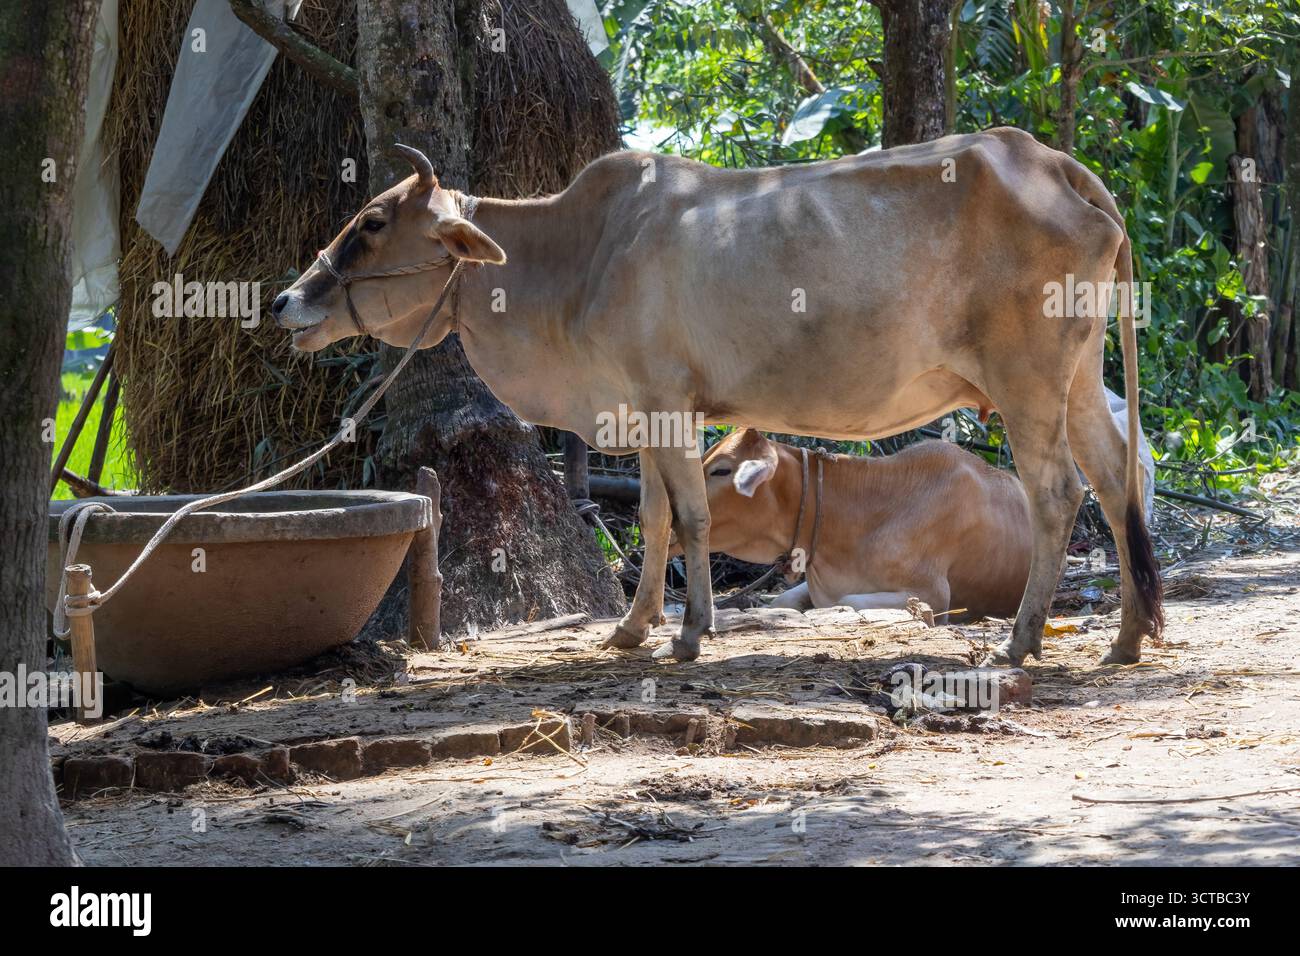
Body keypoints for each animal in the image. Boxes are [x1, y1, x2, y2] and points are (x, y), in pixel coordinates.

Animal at [272, 128, 1163, 667]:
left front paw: (691, 633)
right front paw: (633, 628)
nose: (284, 302)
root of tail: (1050, 161)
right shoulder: (650, 410)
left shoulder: (667, 402)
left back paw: (1021, 641)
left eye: (373, 222)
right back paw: (1126, 636)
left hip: (1027, 381)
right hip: (1077, 380)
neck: (576, 256)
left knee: (1061, 492)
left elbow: (692, 517)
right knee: (1115, 478)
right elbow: (656, 518)